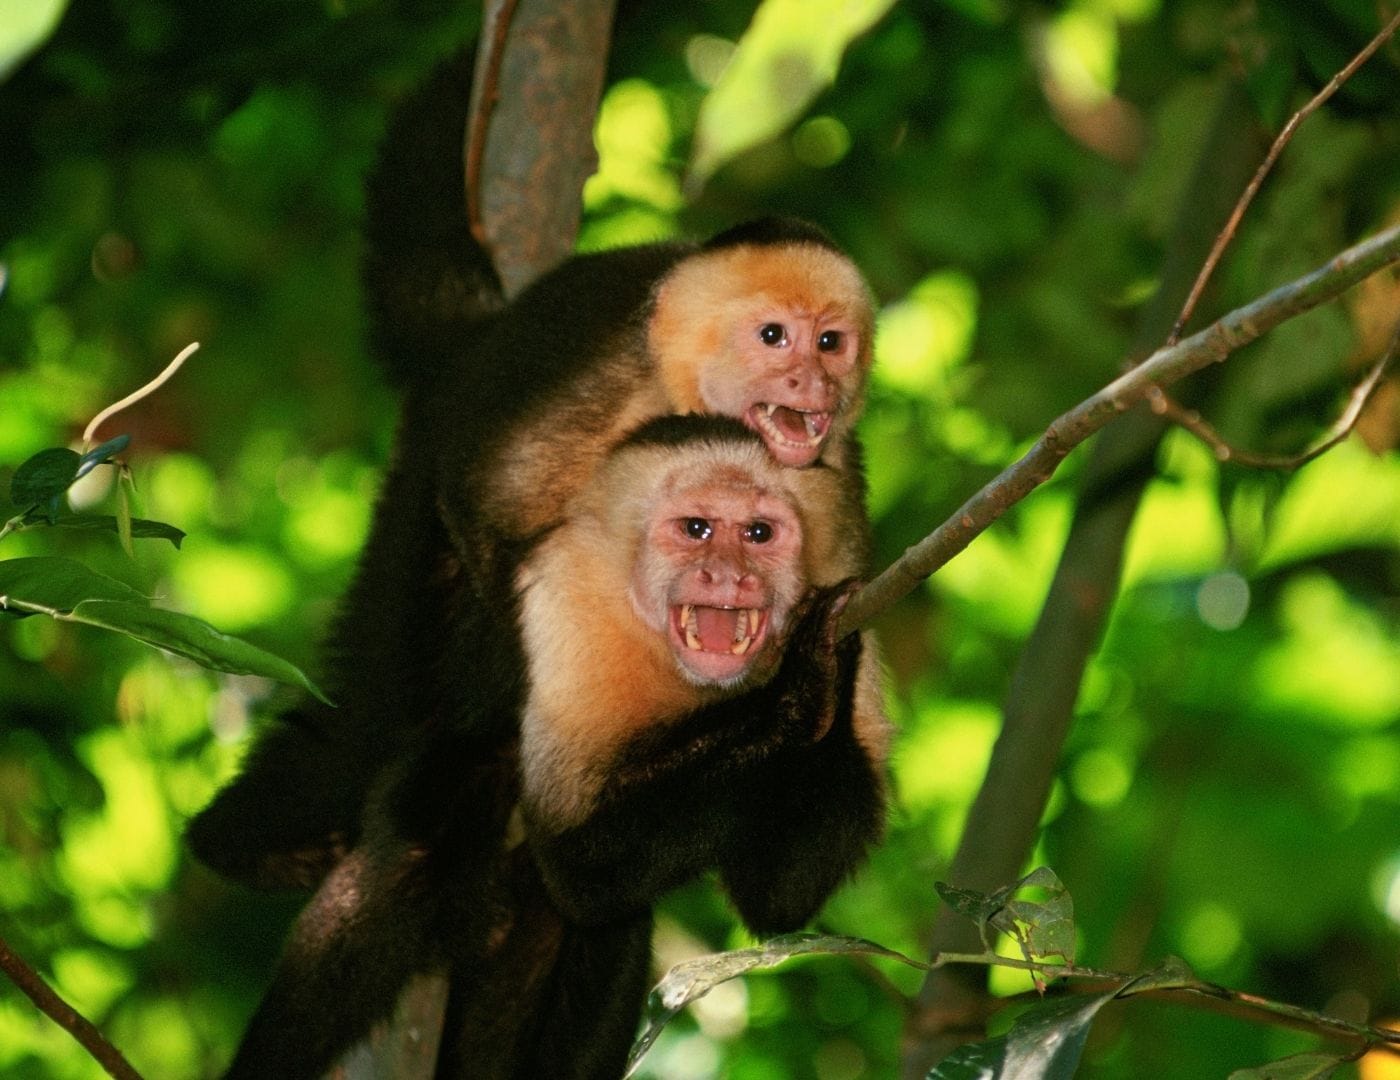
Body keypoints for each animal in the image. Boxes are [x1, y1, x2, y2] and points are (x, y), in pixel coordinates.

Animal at [214, 415, 888, 1080]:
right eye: (696, 529)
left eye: (759, 533)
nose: (729, 575)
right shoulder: (570, 607)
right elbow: (576, 856)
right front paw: (800, 684)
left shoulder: (850, 586)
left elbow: (778, 903)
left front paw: (822, 688)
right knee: (427, 834)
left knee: (608, 921)